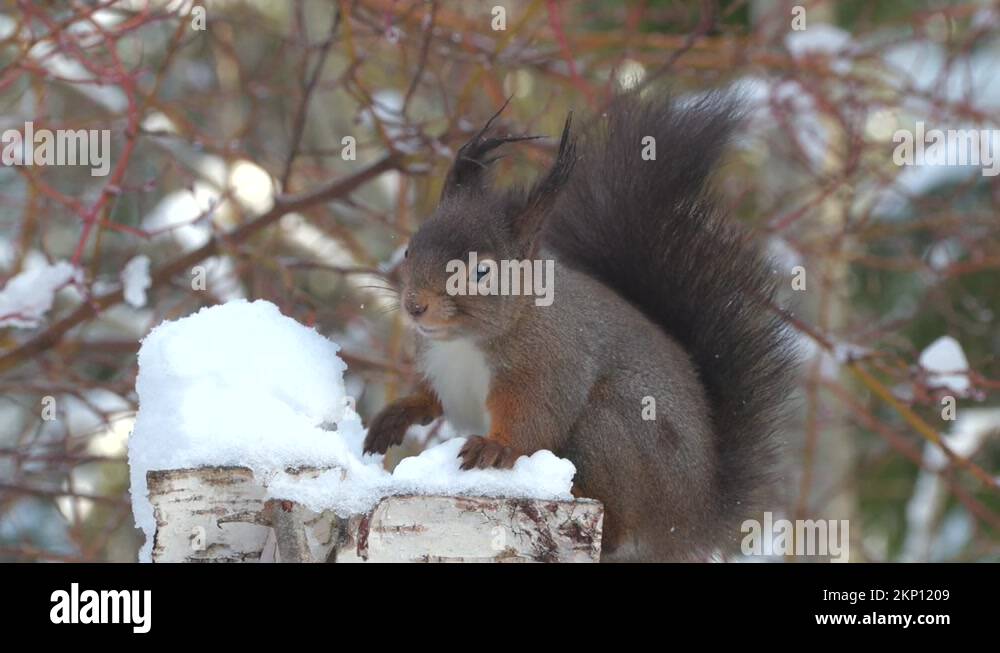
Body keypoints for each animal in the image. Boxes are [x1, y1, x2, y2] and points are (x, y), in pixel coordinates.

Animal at [362, 92, 796, 562]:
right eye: (409, 249)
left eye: (481, 272)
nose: (415, 306)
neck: (466, 342)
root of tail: (693, 525)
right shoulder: (441, 367)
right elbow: (432, 400)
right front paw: (396, 415)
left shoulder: (549, 363)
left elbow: (534, 417)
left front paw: (495, 446)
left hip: (614, 430)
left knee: (619, 521)